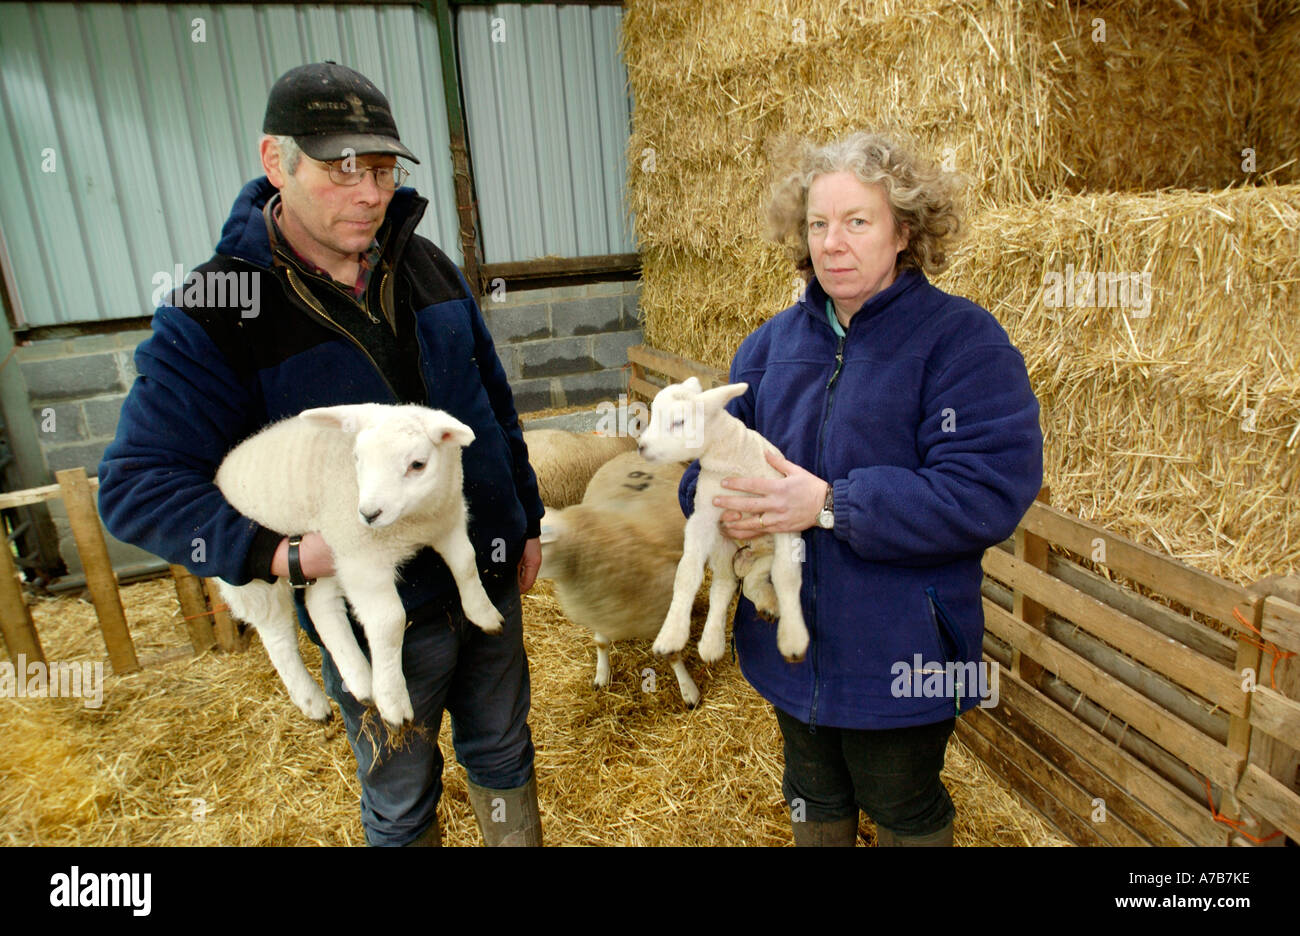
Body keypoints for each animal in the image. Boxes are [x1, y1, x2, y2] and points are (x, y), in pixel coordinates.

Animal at [213, 403, 503, 727]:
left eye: (417, 464)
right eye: (357, 458)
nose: (368, 514)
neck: (415, 521)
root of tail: (227, 465)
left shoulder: (447, 521)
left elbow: (466, 563)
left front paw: (484, 614)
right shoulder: (365, 561)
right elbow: (390, 621)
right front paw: (392, 700)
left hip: (332, 552)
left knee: (320, 605)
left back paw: (361, 680)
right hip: (262, 576)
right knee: (276, 633)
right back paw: (312, 699)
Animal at [538, 451, 705, 706]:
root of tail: (633, 452)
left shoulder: (658, 609)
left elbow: (671, 655)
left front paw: (689, 692)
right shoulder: (598, 609)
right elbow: (601, 643)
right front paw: (601, 675)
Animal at [637, 377, 809, 664]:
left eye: (679, 422)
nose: (641, 446)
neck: (732, 460)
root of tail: (747, 555)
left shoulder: (784, 515)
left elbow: (786, 575)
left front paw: (793, 639)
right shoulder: (703, 516)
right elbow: (686, 574)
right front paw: (671, 635)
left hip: (763, 551)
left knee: (755, 578)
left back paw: (768, 603)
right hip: (722, 543)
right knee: (726, 583)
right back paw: (712, 643)